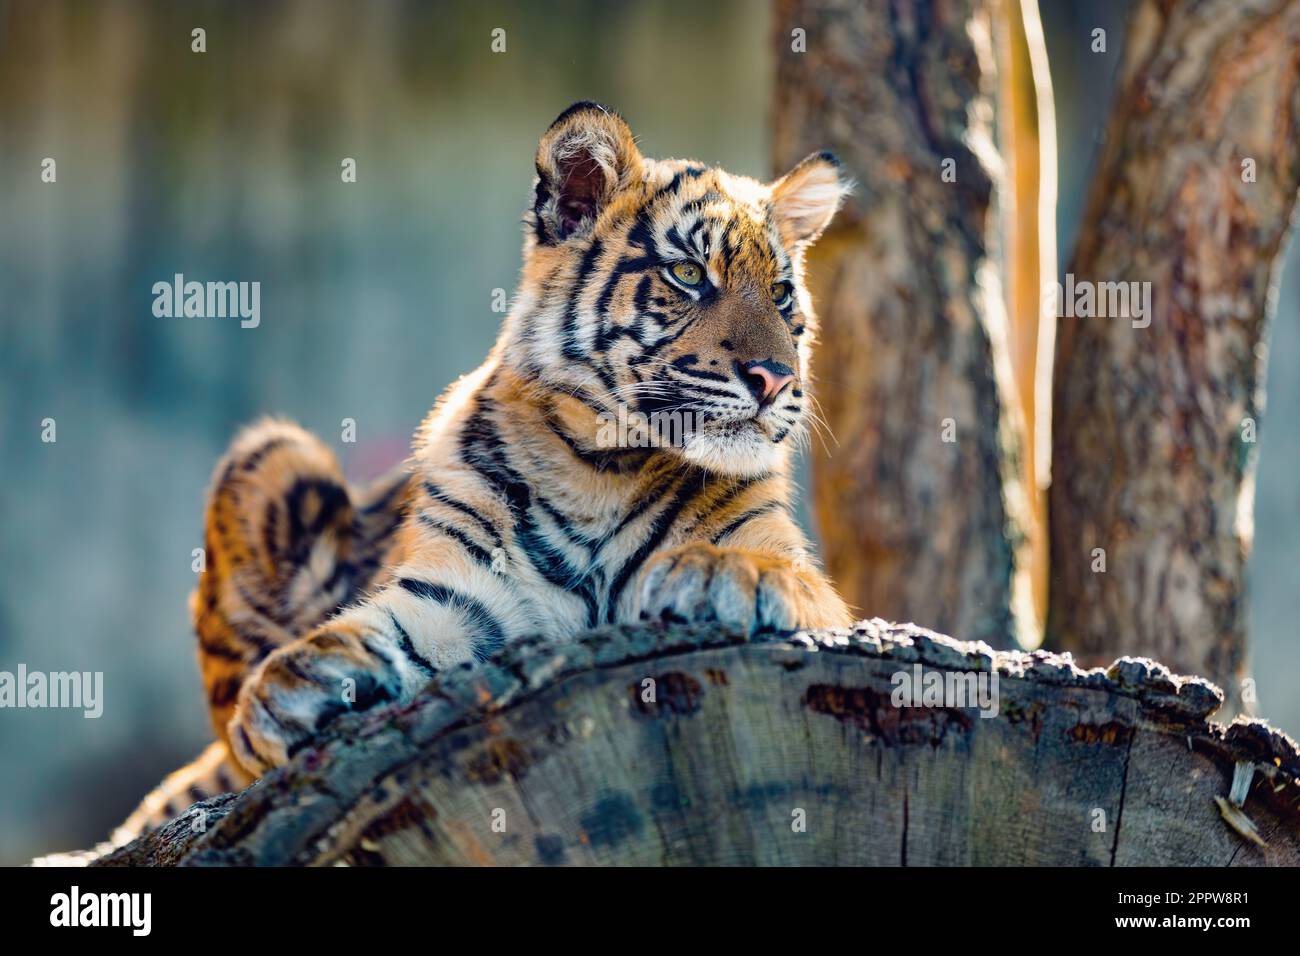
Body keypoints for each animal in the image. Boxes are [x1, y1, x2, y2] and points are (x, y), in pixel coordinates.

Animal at [117, 101, 853, 840]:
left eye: (782, 294)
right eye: (690, 275)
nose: (775, 378)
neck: (604, 465)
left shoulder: (811, 582)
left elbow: (777, 569)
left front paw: (722, 574)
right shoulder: (462, 593)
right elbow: (386, 626)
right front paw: (290, 688)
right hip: (274, 452)